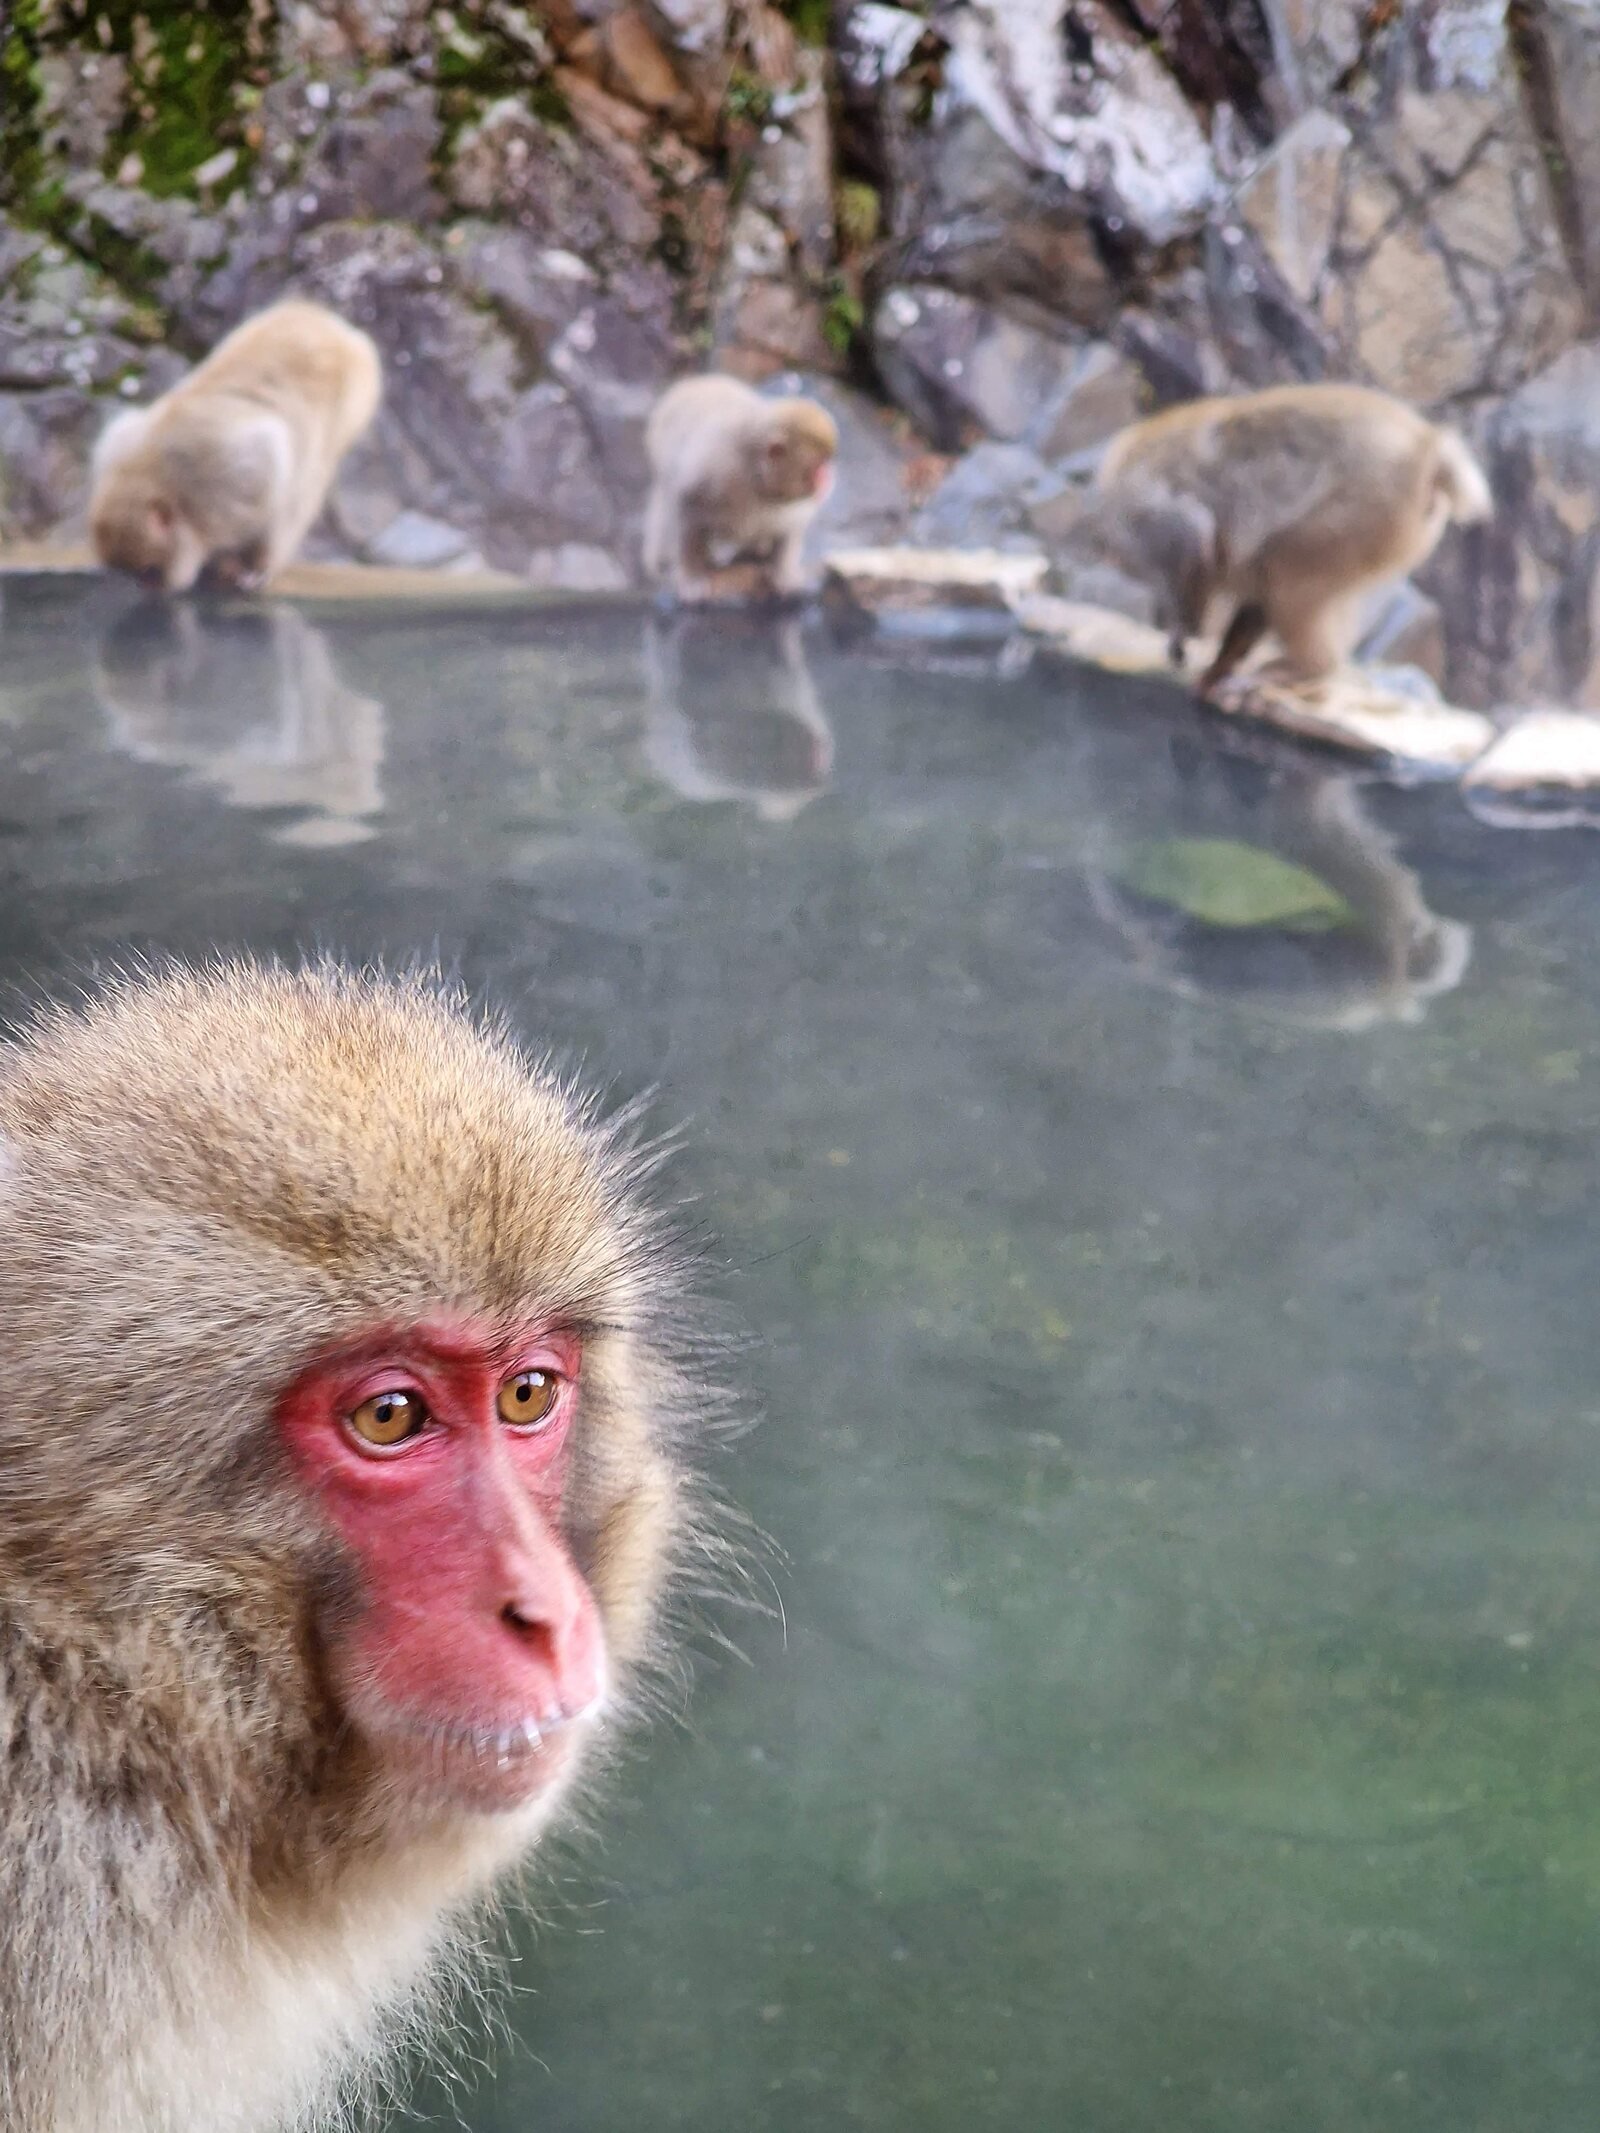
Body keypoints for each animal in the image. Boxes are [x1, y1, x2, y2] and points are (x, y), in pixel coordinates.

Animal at [89, 299, 382, 595]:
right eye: (127, 572)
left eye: (148, 572)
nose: (144, 587)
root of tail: (326, 323)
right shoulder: (116, 446)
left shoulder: (240, 477)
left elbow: (278, 496)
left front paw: (253, 565)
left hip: (356, 394)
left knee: (308, 476)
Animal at [643, 374, 838, 605]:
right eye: (818, 466)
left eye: (827, 462)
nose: (828, 478)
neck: (756, 478)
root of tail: (695, 382)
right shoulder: (714, 470)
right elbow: (688, 508)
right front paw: (692, 575)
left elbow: (792, 526)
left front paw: (784, 572)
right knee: (668, 495)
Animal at [1093, 383, 1493, 695]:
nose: (1111, 556)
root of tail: (1426, 449)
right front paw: (1218, 662)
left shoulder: (1147, 510)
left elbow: (1194, 544)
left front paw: (1184, 629)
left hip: (1364, 510)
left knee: (1284, 568)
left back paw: (1309, 668)